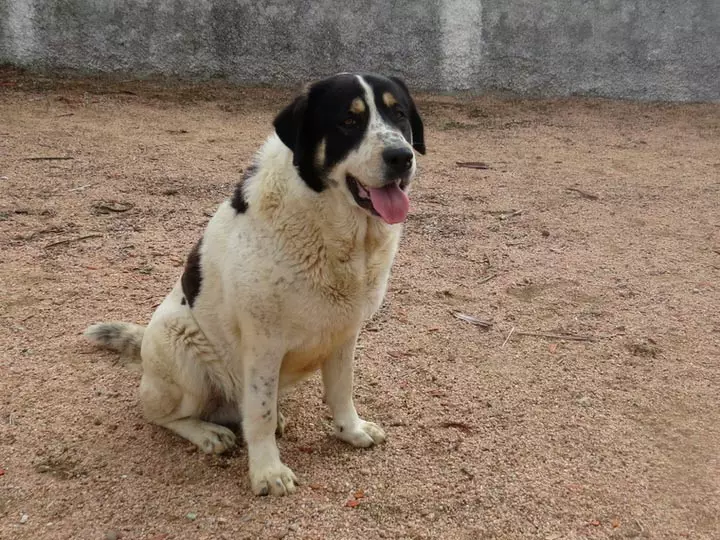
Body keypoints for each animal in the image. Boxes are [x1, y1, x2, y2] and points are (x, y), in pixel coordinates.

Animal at [84, 73, 424, 498]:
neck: (332, 230)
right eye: (348, 121)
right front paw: (267, 470)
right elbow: (258, 415)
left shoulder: (344, 334)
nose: (401, 157)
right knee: (160, 413)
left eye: (399, 115)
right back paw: (208, 433)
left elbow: (341, 391)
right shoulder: (264, 343)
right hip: (182, 349)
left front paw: (351, 430)